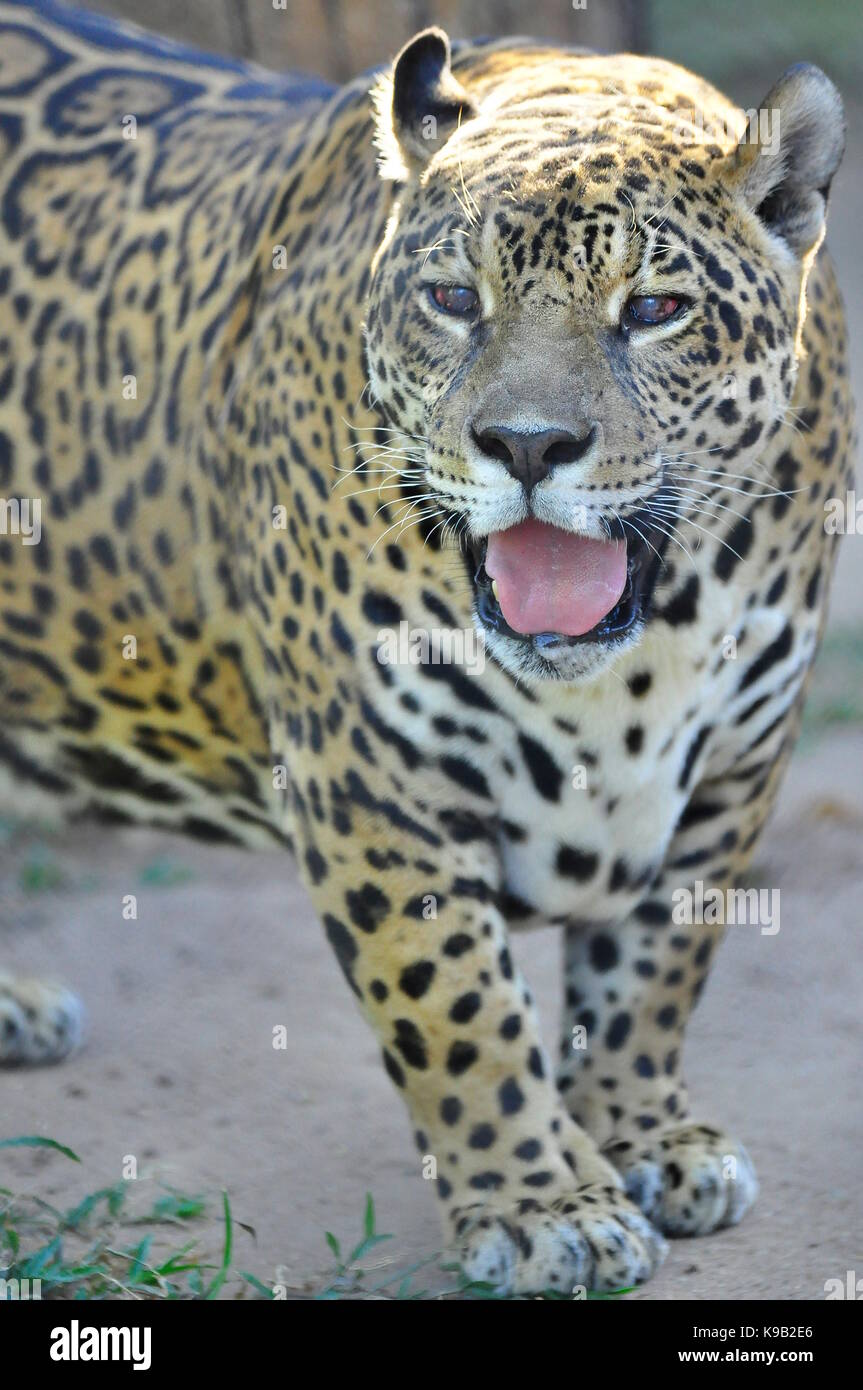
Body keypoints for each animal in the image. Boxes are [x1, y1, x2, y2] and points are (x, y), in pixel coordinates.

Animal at [0, 0, 855, 1296]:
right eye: (454, 299)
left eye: (653, 310)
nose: (528, 443)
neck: (629, 670)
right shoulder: (371, 780)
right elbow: (456, 1007)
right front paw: (546, 1204)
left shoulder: (733, 768)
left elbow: (654, 966)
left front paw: (640, 1134)